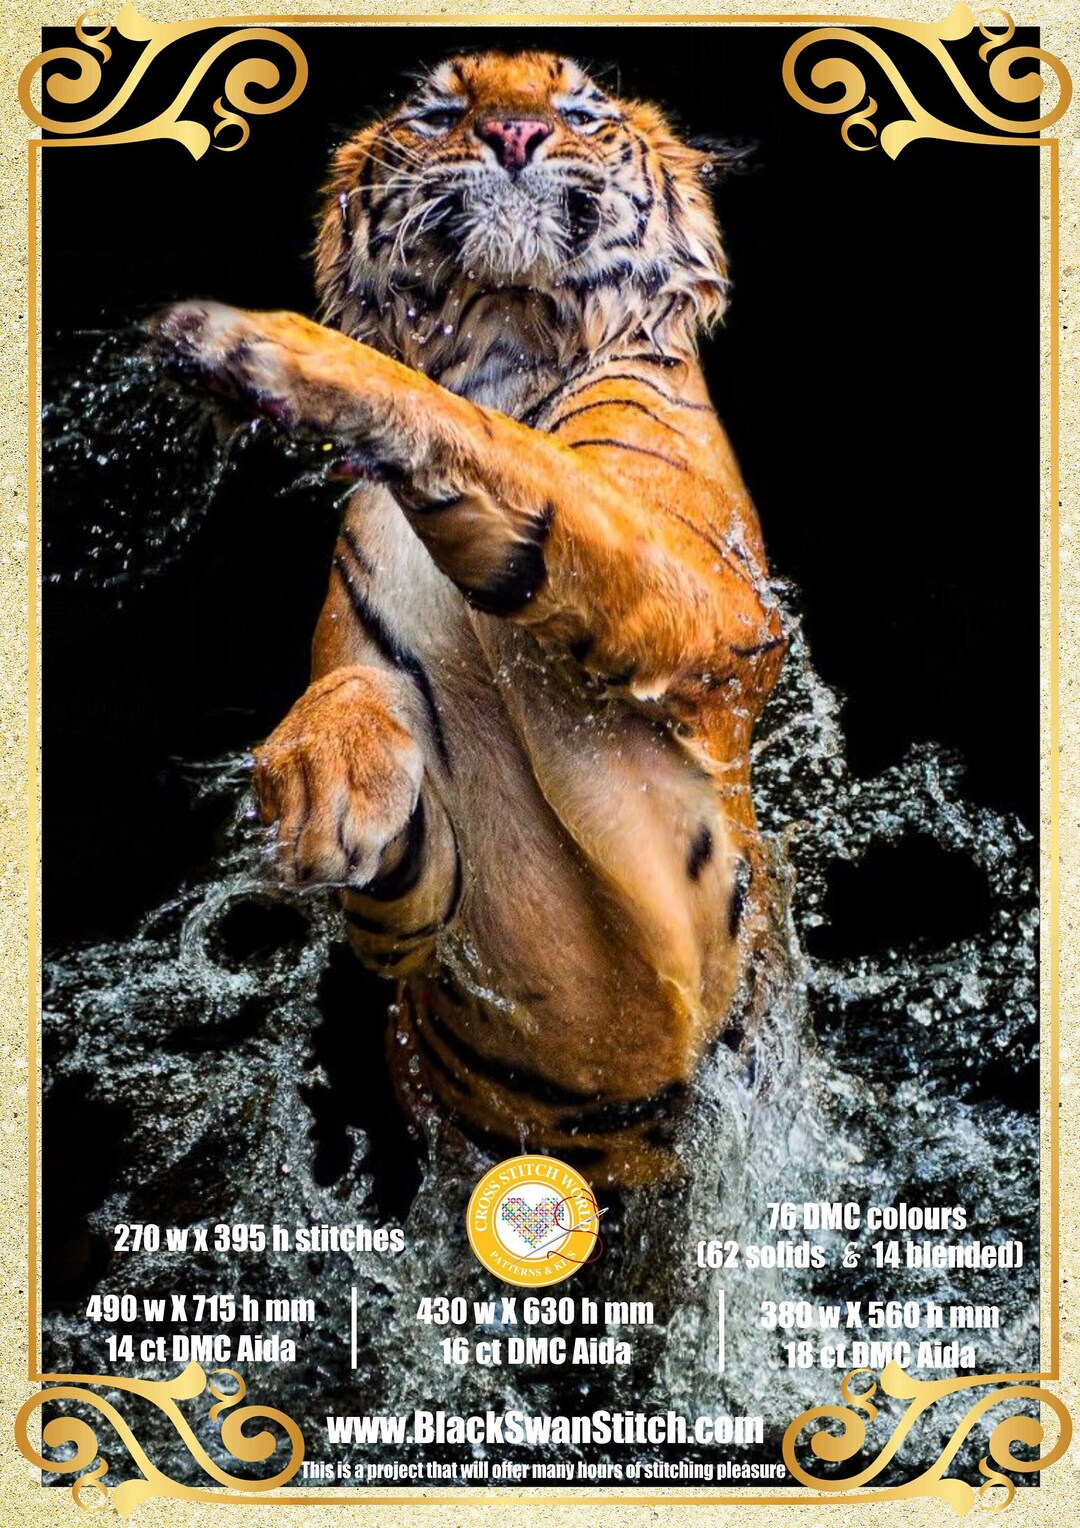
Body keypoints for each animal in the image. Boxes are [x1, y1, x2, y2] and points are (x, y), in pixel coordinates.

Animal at [152, 49, 786, 1188]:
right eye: (440, 111)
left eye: (580, 109)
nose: (514, 135)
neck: (506, 337)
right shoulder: (411, 920)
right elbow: (355, 695)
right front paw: (320, 781)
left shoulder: (709, 606)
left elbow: (513, 458)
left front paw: (263, 349)